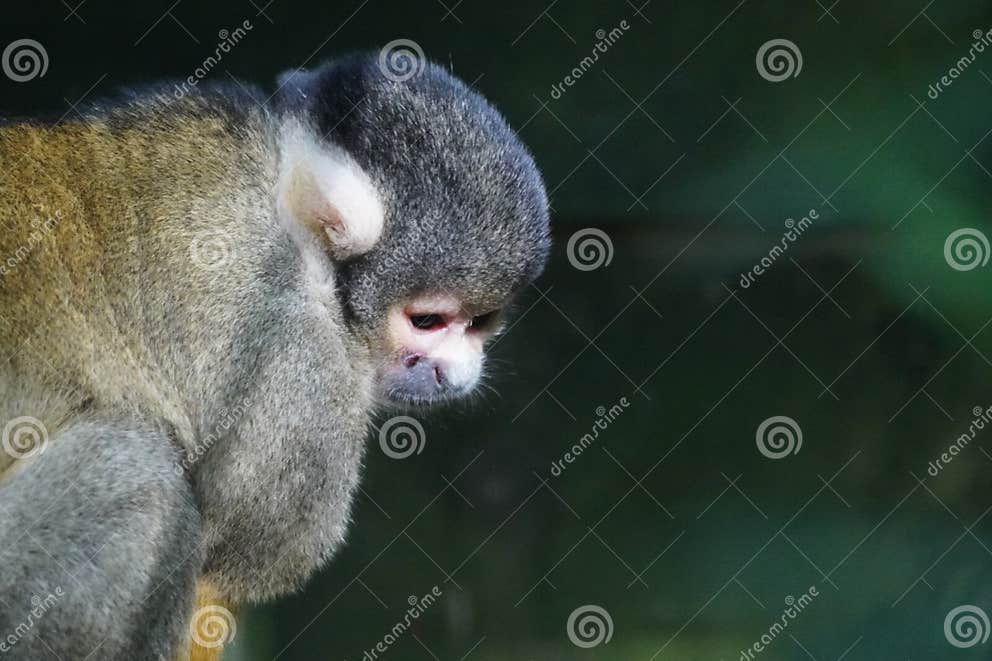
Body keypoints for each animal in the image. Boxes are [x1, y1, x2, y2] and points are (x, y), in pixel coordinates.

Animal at [0, 51, 550, 660]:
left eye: (478, 324)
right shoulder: (301, 346)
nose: (454, 374)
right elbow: (222, 574)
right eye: (427, 322)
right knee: (134, 473)